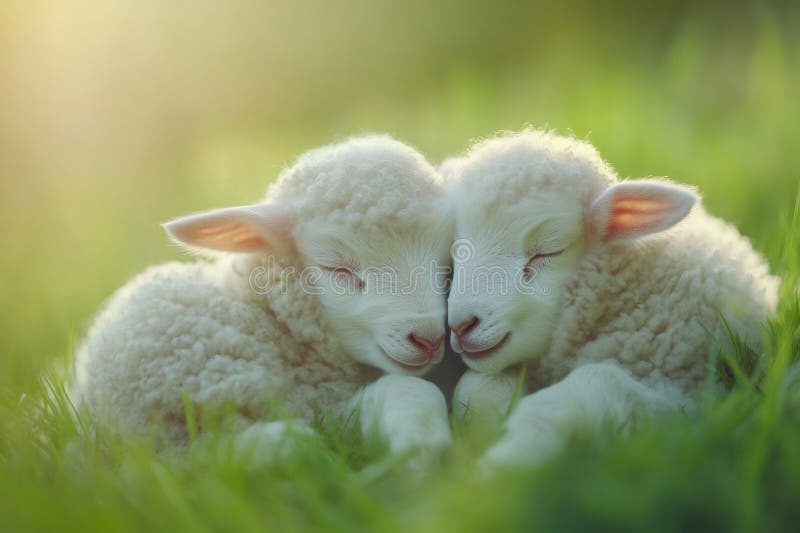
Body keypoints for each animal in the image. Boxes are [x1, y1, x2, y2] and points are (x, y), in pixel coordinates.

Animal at [73, 135, 455, 461]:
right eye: (338, 268)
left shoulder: (328, 403)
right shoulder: (172, 444)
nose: (428, 338)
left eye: (447, 266)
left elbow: (405, 389)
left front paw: (421, 446)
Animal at [443, 129, 779, 467]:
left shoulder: (691, 400)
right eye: (455, 252)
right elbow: (476, 389)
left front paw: (509, 456)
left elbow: (597, 381)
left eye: (548, 251)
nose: (460, 325)